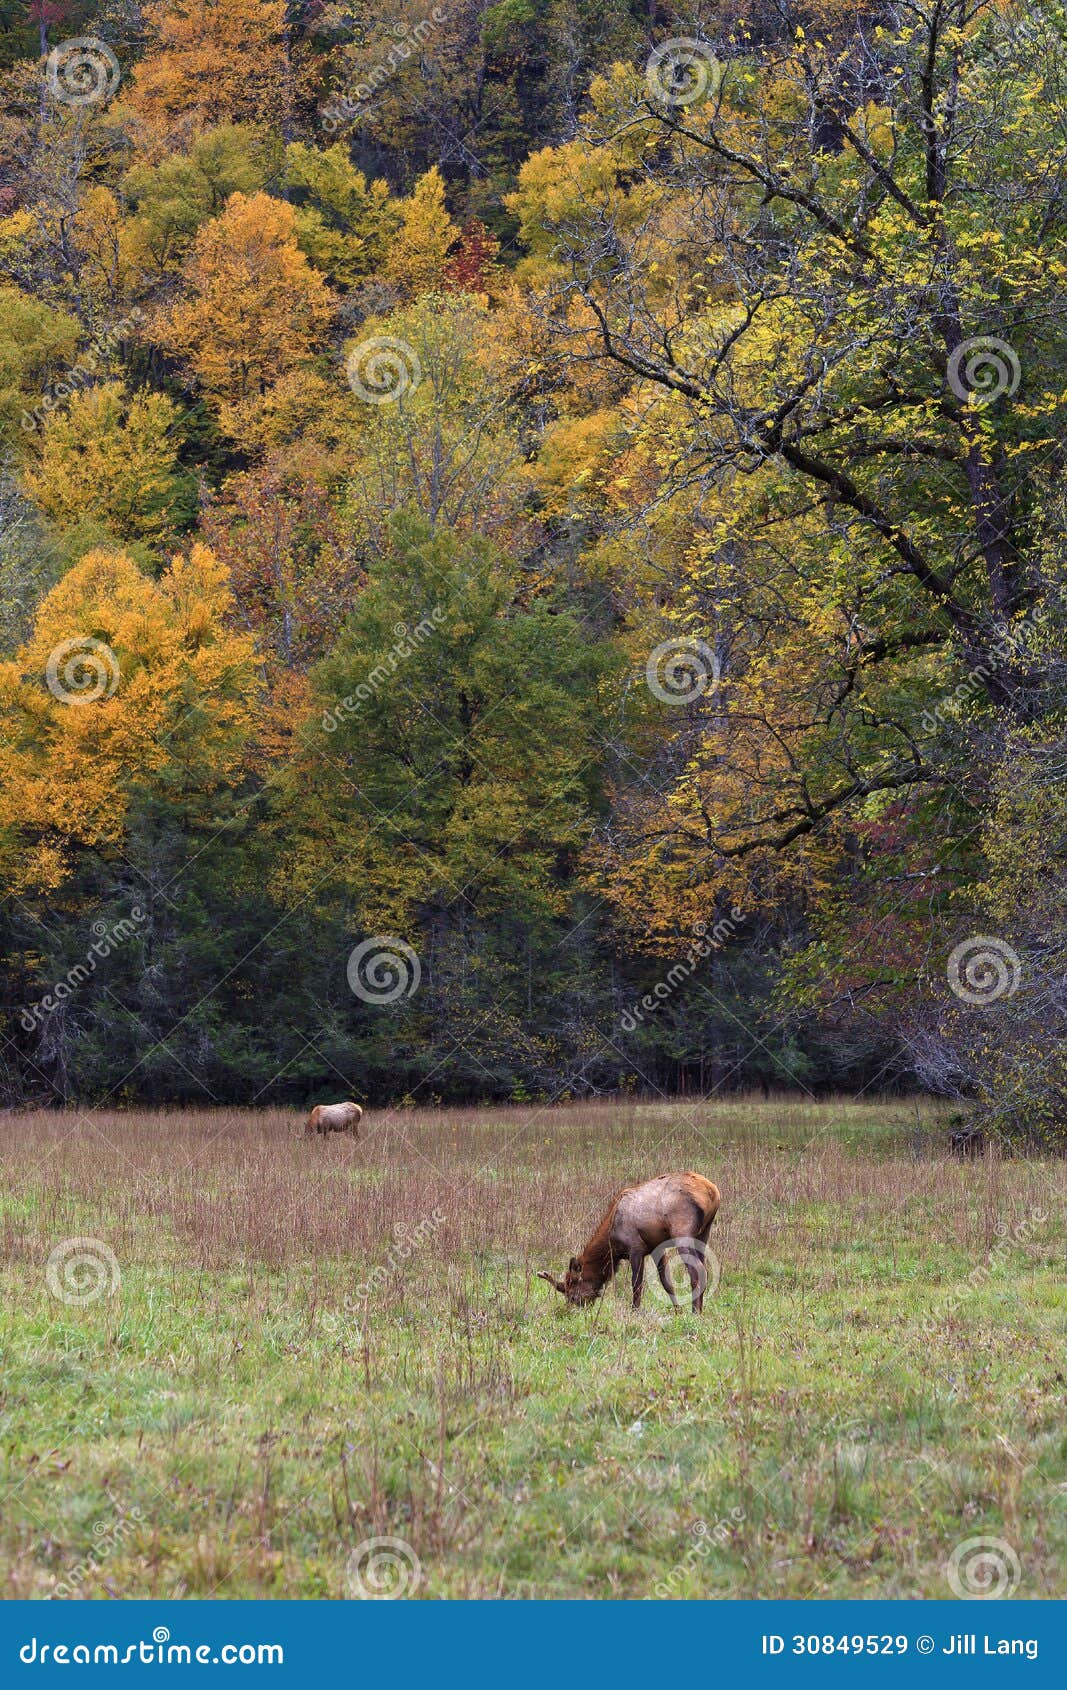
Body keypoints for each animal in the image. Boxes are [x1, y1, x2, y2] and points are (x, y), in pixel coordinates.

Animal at [538, 1172, 720, 1312]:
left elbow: (636, 1284)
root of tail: (712, 1191)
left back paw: (695, 1312)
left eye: (572, 1294)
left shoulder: (636, 1248)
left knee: (696, 1272)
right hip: (704, 1233)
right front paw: (678, 1311)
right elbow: (666, 1282)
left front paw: (634, 1311)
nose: (570, 1312)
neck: (613, 1245)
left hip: (682, 1232)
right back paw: (699, 1310)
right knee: (704, 1269)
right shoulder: (656, 1248)